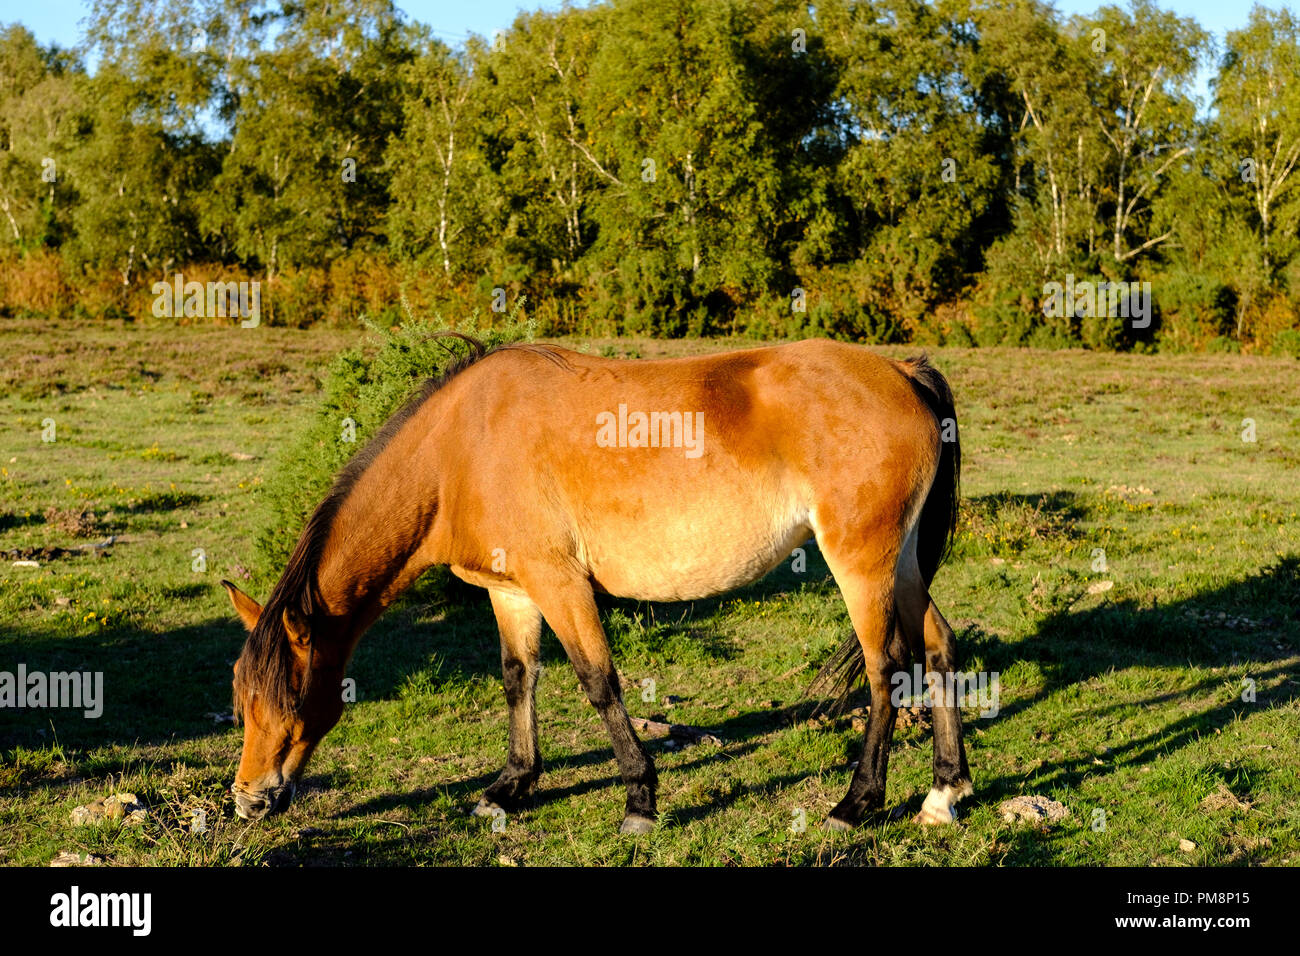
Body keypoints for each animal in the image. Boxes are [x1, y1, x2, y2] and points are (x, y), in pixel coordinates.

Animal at [222, 335, 971, 834]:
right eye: (240, 703)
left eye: (290, 702)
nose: (249, 799)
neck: (460, 449)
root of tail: (901, 372)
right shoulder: (512, 590)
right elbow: (517, 677)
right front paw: (511, 786)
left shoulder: (560, 584)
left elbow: (598, 682)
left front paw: (640, 799)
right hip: (900, 561)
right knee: (937, 647)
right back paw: (945, 791)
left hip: (862, 563)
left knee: (885, 666)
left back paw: (857, 804)